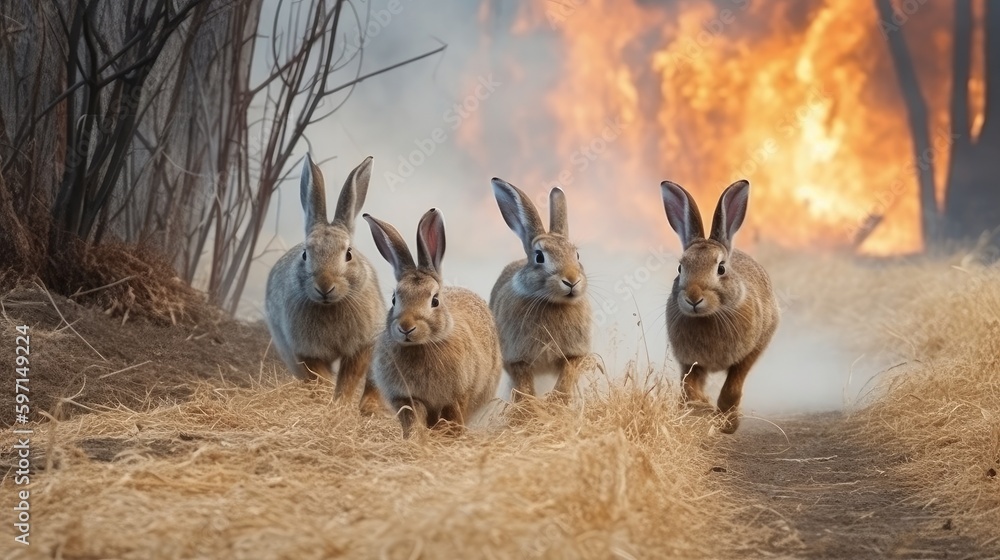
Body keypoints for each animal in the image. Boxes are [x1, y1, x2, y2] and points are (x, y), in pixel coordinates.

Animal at [264, 154, 386, 412]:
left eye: (348, 254)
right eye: (305, 254)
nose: (324, 286)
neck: (330, 306)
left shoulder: (362, 345)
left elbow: (350, 377)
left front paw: (342, 404)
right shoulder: (305, 351)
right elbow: (321, 378)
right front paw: (328, 402)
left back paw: (369, 407)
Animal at [363, 208, 502, 438]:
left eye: (434, 300)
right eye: (394, 299)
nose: (406, 327)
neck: (422, 345)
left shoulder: (456, 396)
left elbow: (452, 417)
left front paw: (450, 436)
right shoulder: (407, 398)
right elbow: (412, 421)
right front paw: (415, 439)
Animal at [489, 178, 592, 404]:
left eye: (577, 255)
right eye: (539, 256)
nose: (572, 280)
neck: (552, 303)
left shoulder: (575, 354)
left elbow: (568, 374)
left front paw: (558, 401)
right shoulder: (516, 357)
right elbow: (524, 381)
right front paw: (529, 405)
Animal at [660, 179, 779, 434]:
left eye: (721, 268)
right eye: (680, 268)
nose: (693, 297)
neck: (711, 315)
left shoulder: (750, 353)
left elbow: (732, 387)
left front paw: (728, 424)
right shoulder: (689, 361)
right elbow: (689, 387)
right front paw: (699, 408)